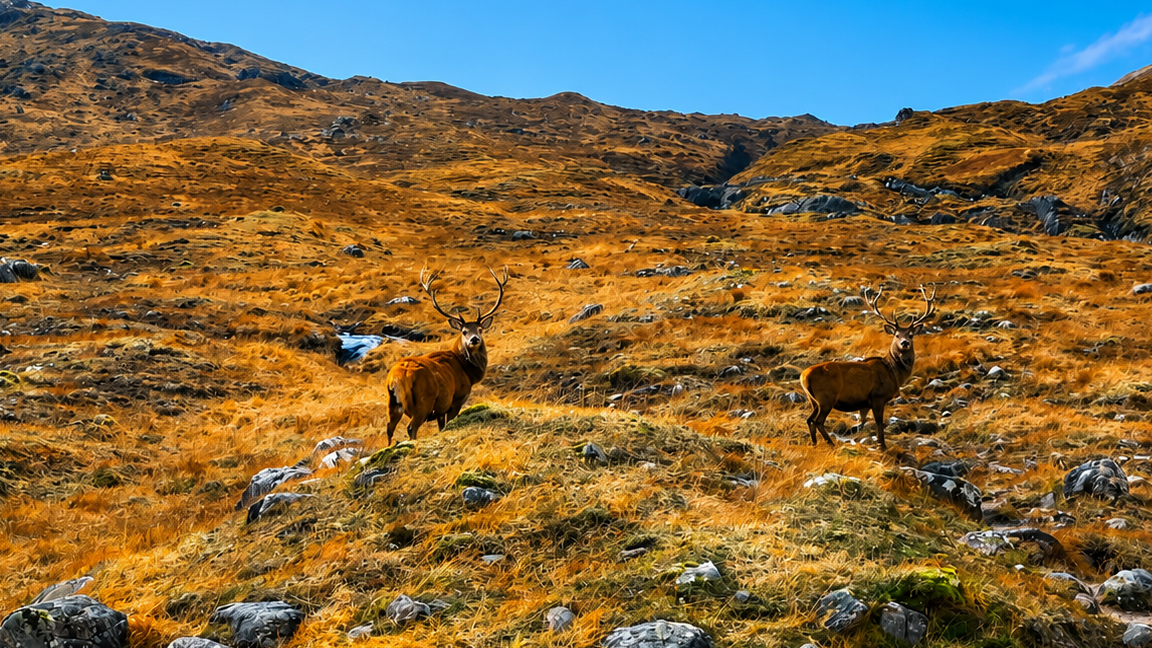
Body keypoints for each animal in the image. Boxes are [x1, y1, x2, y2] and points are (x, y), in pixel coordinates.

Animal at [382, 267, 508, 445]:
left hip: (391, 403)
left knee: (389, 429)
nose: (474, 339)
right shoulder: (456, 398)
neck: (468, 371)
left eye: (480, 329)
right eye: (464, 331)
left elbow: (441, 427)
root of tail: (398, 377)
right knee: (411, 427)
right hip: (424, 401)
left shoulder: (440, 409)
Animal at [799, 284, 936, 451]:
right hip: (826, 398)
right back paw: (831, 443)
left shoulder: (867, 403)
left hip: (813, 400)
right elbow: (879, 424)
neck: (893, 373)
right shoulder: (878, 396)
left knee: (809, 420)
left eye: (911, 334)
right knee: (818, 421)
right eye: (896, 335)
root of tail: (804, 376)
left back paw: (814, 443)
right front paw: (882, 445)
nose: (904, 343)